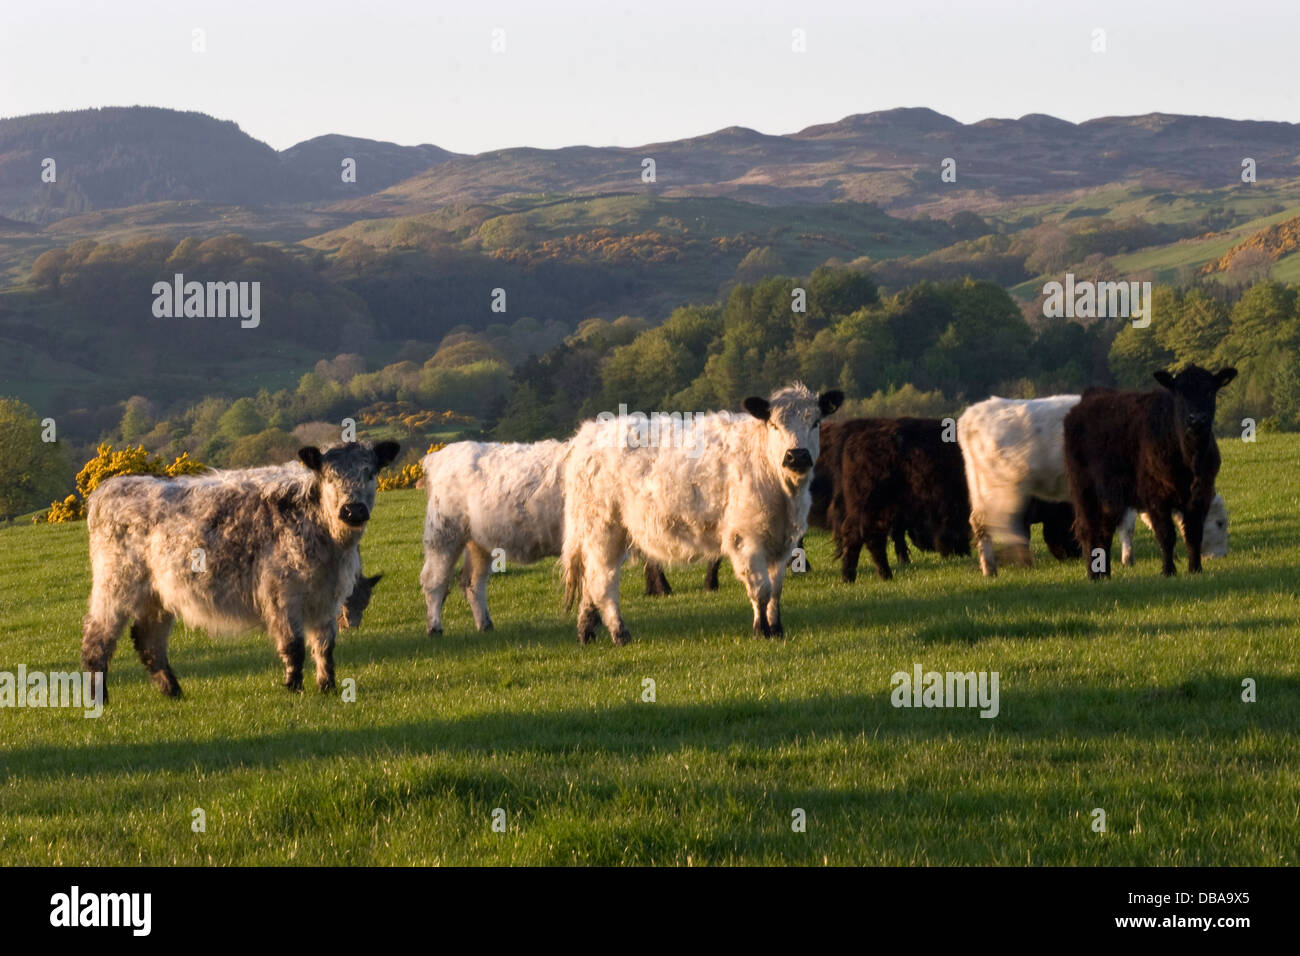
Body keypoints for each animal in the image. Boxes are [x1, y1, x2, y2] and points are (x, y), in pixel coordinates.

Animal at [80, 440, 400, 699]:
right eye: (330, 476)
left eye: (370, 473)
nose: (353, 510)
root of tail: (110, 488)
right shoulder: (281, 594)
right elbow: (294, 645)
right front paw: (294, 687)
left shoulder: (326, 599)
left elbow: (324, 646)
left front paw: (328, 687)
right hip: (115, 586)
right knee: (98, 637)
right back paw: (99, 697)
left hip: (158, 595)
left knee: (149, 642)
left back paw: (174, 692)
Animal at [562, 383, 843, 644]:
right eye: (774, 424)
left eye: (816, 422)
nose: (797, 456)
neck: (785, 494)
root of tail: (588, 434)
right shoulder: (746, 539)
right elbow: (761, 589)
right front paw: (761, 630)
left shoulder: (783, 541)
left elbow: (775, 590)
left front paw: (776, 629)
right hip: (604, 530)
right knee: (603, 583)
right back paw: (620, 634)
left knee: (590, 583)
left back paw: (586, 632)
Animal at [821, 417, 972, 581]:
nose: (964, 551)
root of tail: (857, 429)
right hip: (868, 505)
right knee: (856, 535)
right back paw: (849, 577)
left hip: (884, 508)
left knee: (875, 538)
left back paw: (885, 575)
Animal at [1063, 365, 1237, 579]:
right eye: (1179, 392)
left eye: (1210, 391)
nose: (1196, 419)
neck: (1189, 460)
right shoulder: (1156, 495)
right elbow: (1166, 534)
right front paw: (1168, 571)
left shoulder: (1201, 493)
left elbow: (1194, 533)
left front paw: (1195, 569)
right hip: (1084, 489)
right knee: (1088, 529)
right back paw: (1094, 575)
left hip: (1111, 497)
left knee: (1105, 530)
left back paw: (1105, 574)